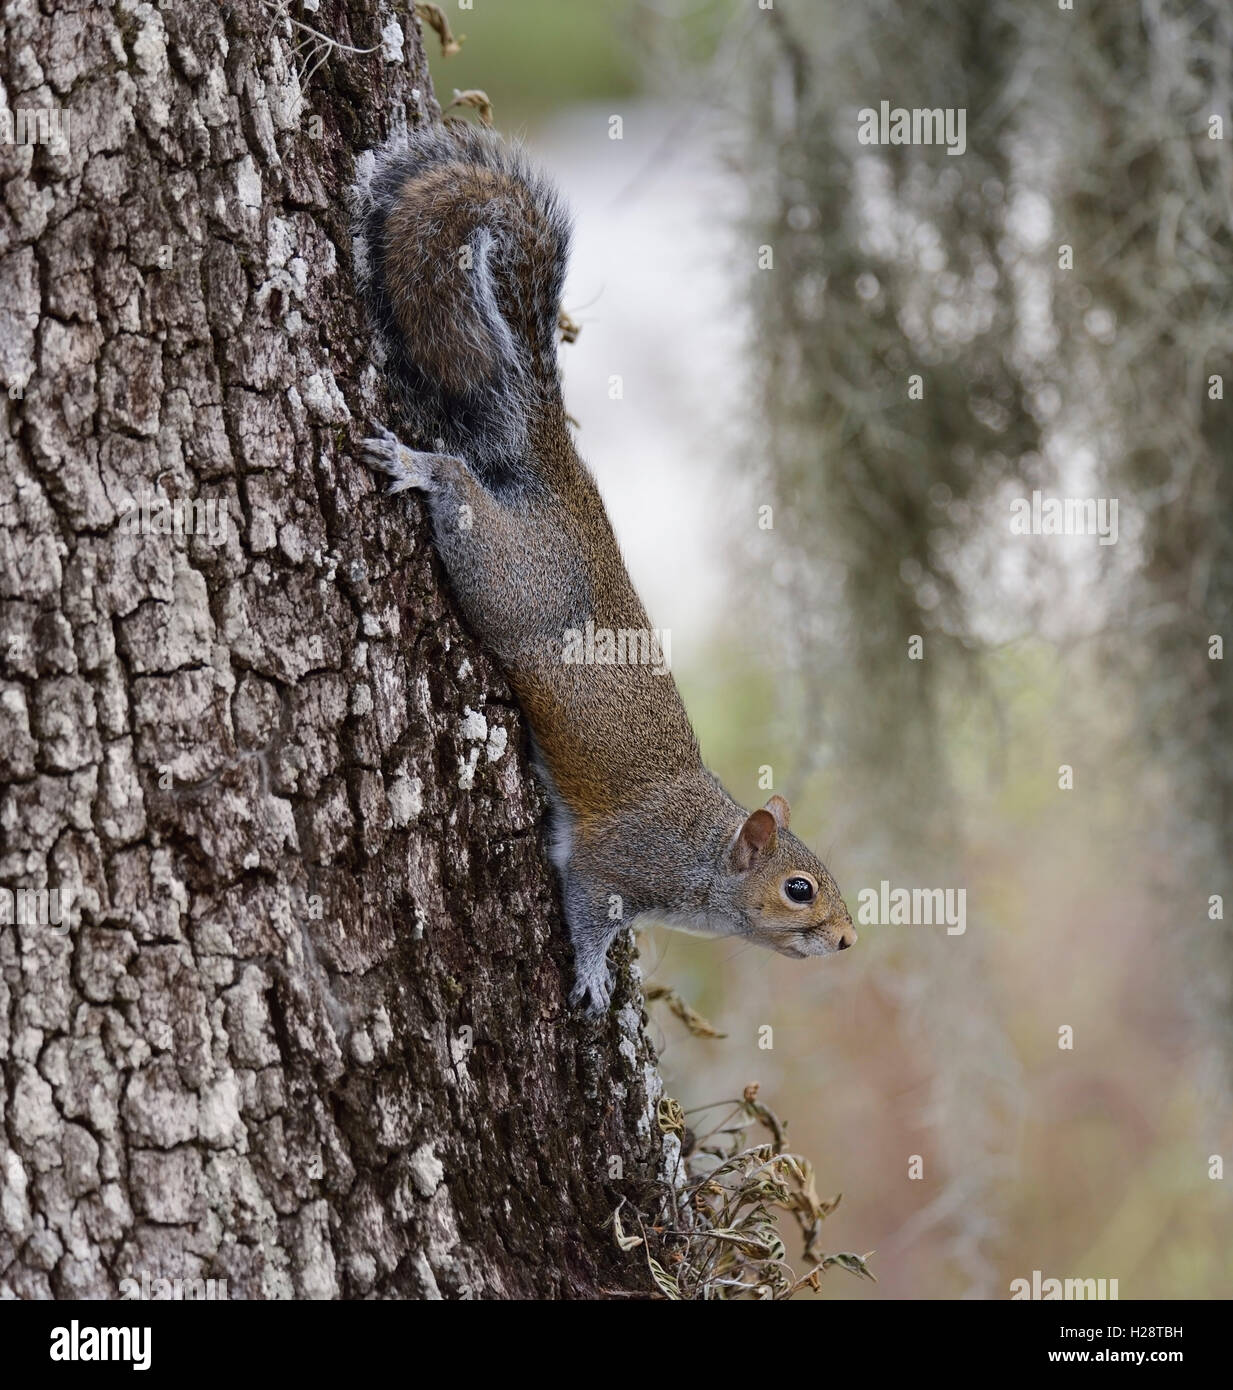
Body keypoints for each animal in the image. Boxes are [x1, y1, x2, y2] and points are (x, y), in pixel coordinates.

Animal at [356, 122, 856, 1011]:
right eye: (798, 889)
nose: (845, 938)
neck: (701, 853)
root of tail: (564, 480)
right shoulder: (613, 866)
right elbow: (587, 909)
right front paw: (591, 978)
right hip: (506, 575)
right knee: (459, 492)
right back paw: (423, 467)